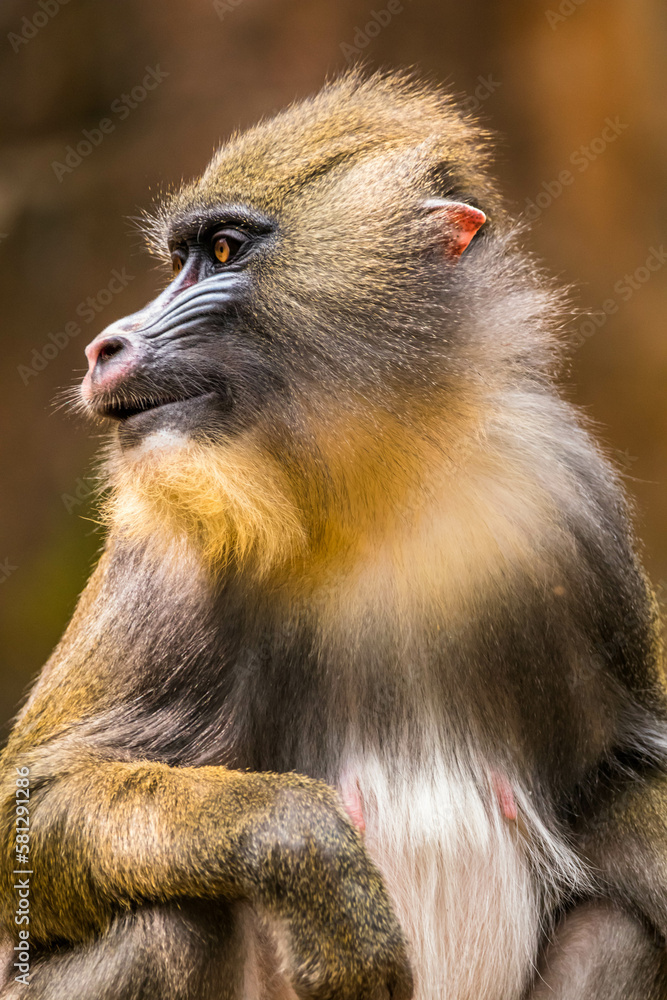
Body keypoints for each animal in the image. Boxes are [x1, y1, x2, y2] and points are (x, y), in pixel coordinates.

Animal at [2, 67, 667, 1000]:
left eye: (223, 251)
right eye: (183, 258)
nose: (105, 347)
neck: (371, 483)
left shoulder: (574, 508)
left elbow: (616, 785)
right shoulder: (164, 548)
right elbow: (40, 795)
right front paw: (315, 864)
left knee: (620, 929)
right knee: (160, 925)